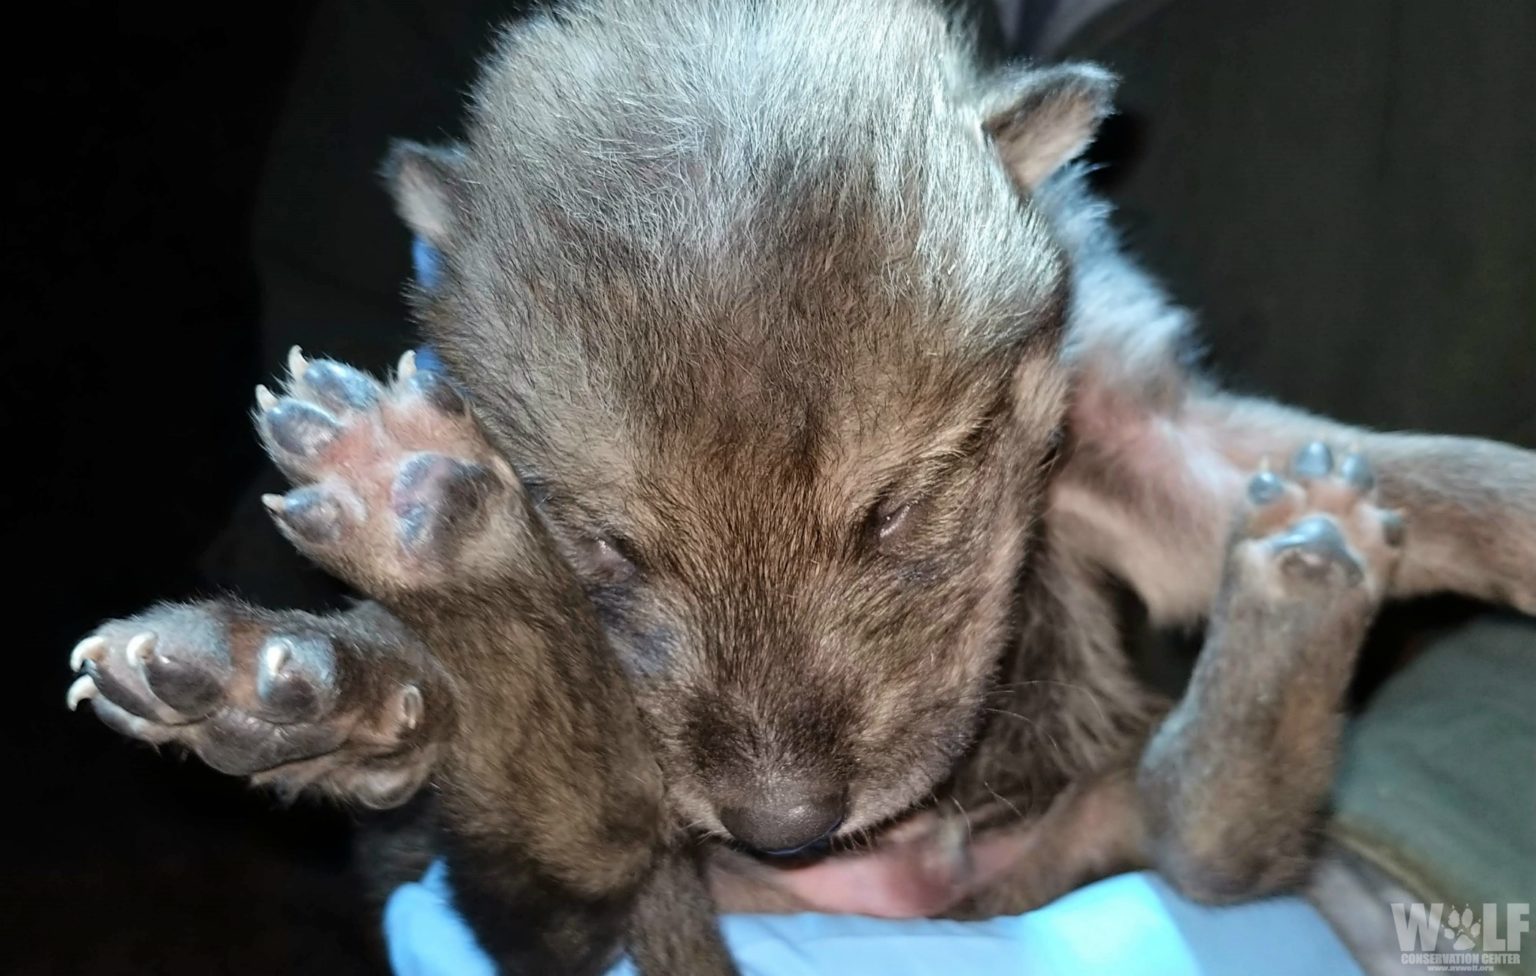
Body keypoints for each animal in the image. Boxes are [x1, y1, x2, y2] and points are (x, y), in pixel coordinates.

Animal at [65, 0, 1536, 972]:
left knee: (1205, 836)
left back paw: (1303, 581)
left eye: (899, 508)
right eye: (605, 543)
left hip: (1081, 826)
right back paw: (373, 596)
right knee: (566, 834)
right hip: (536, 861)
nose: (786, 833)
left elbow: (1456, 479)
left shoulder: (1149, 431)